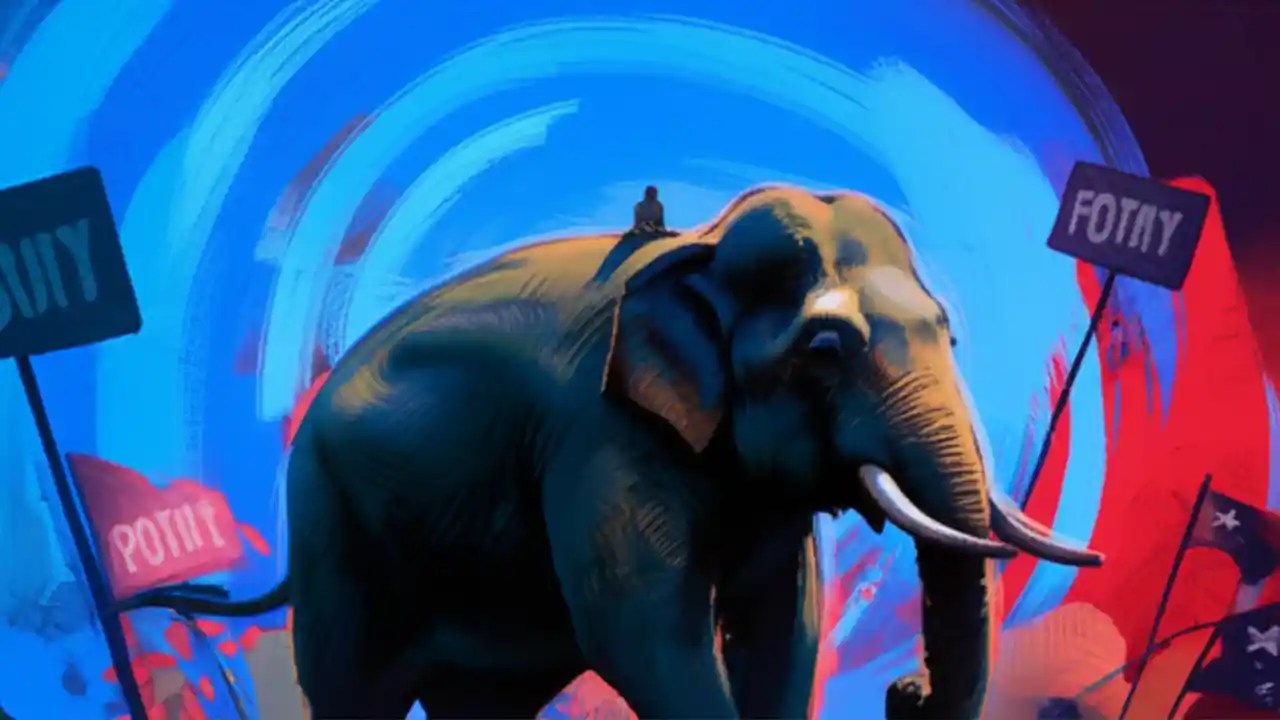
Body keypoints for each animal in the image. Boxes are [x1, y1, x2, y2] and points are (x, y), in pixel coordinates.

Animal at [121, 185, 1103, 719]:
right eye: (825, 350)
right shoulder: (600, 435)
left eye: (948, 332)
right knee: (352, 692)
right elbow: (646, 631)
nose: (905, 690)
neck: (702, 241)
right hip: (338, 533)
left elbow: (784, 622)